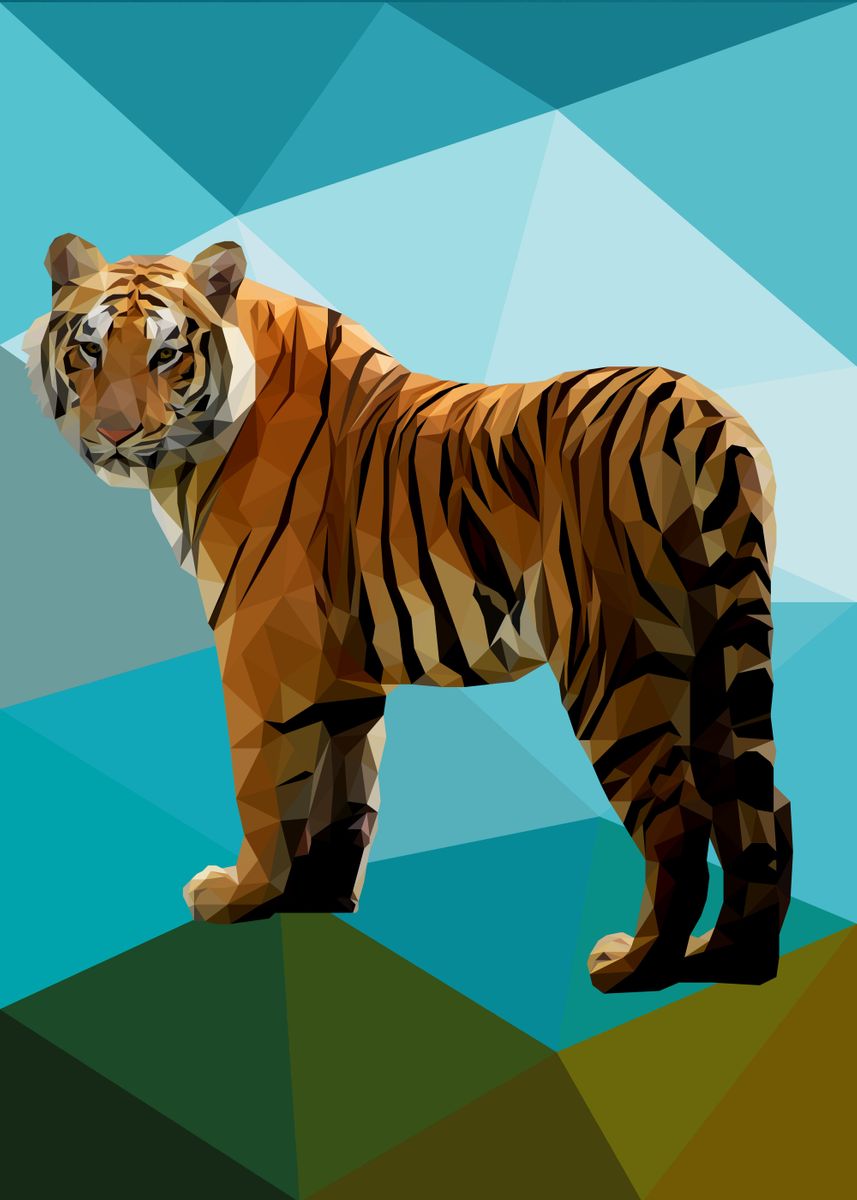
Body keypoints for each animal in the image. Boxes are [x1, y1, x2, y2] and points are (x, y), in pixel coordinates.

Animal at [23, 232, 793, 993]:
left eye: (166, 354)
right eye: (89, 350)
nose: (114, 434)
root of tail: (699, 411)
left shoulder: (263, 640)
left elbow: (266, 783)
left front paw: (241, 896)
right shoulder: (341, 665)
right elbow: (346, 785)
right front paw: (321, 897)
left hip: (615, 654)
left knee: (678, 815)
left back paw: (633, 966)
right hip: (720, 645)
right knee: (760, 805)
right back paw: (732, 959)